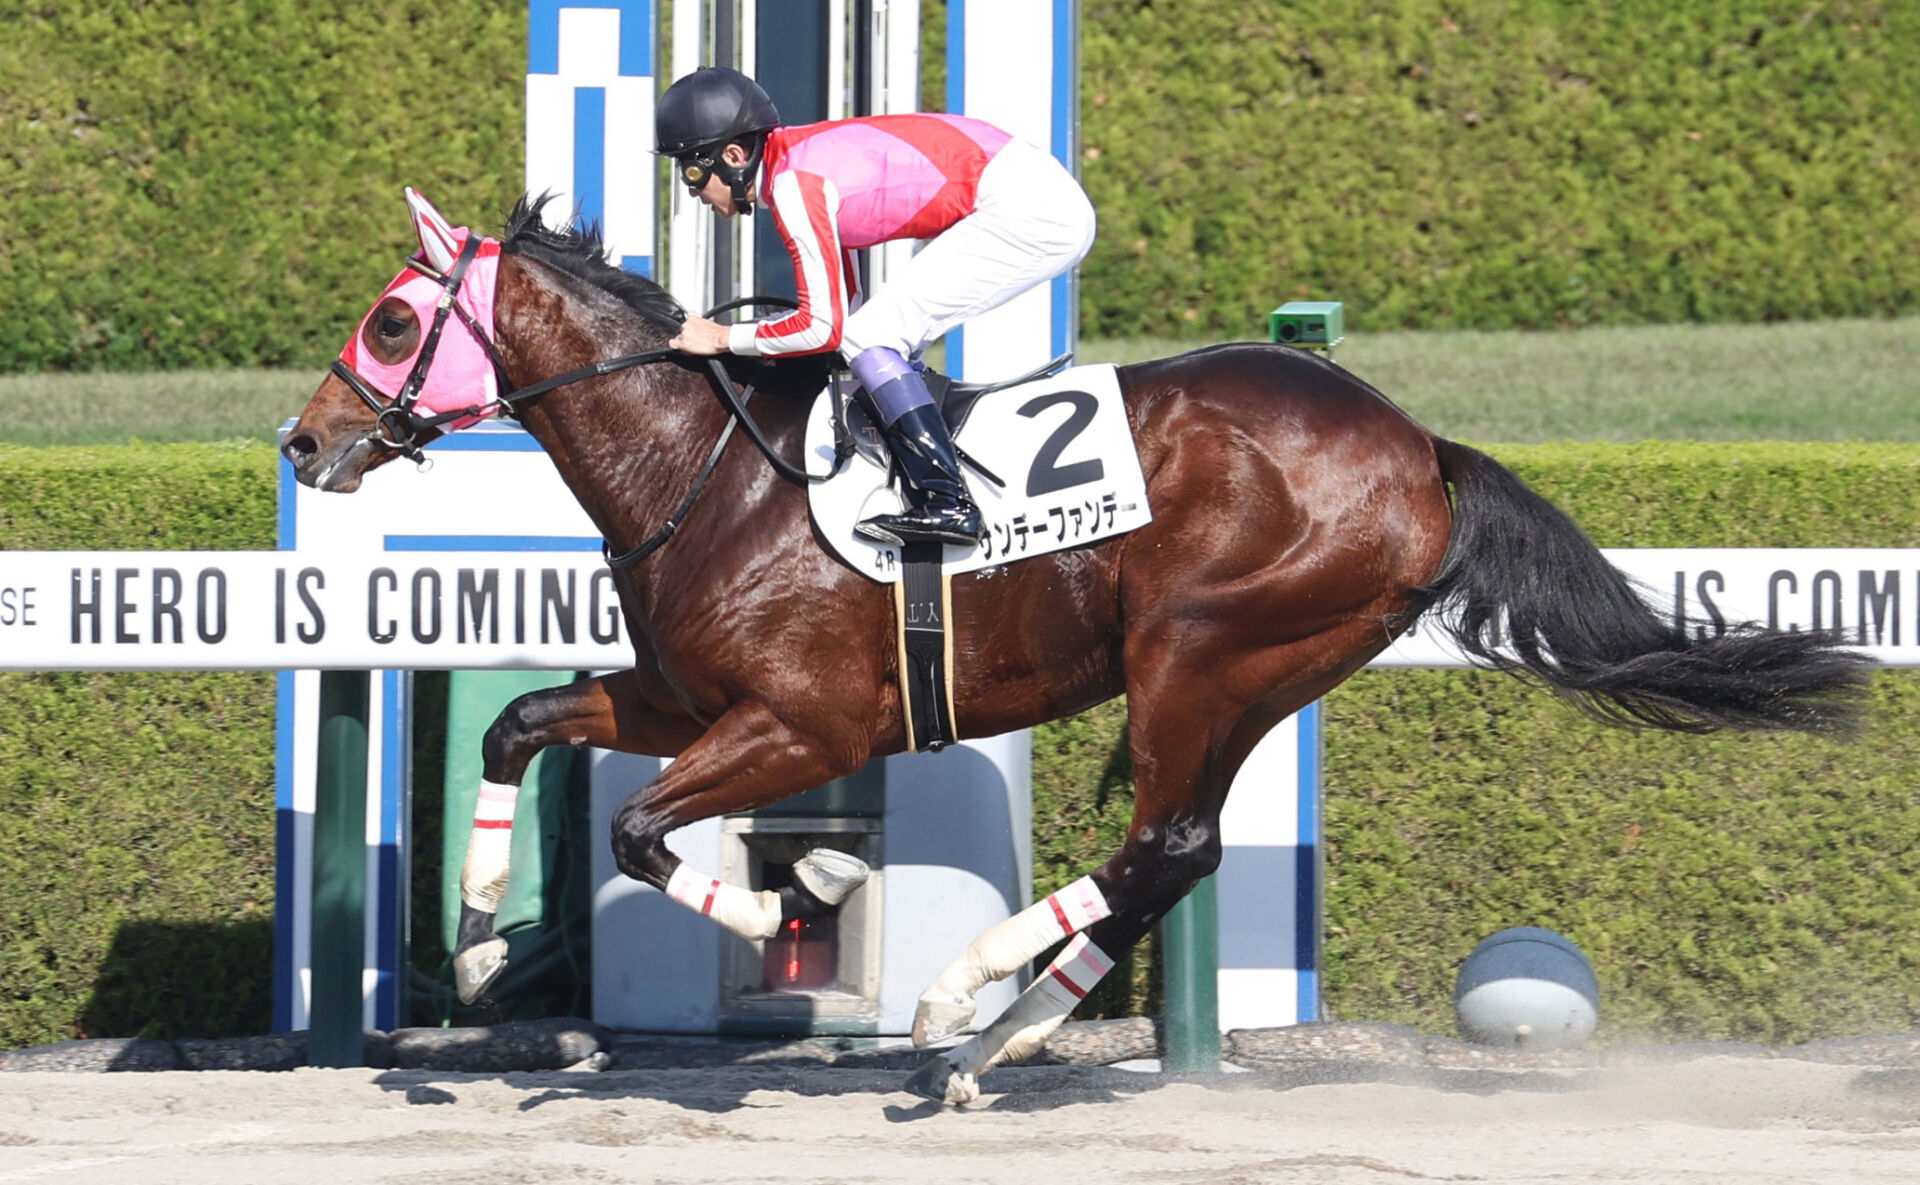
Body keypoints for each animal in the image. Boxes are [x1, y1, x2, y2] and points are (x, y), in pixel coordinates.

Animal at [284, 193, 1869, 1104]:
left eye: (396, 319)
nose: (303, 442)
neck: (707, 471)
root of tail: (1420, 445)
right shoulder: (683, 698)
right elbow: (521, 728)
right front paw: (481, 952)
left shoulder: (807, 722)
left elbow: (642, 835)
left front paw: (802, 896)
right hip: (1262, 672)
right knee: (1177, 849)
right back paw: (997, 1041)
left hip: (1202, 649)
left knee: (1166, 841)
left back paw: (958, 1005)